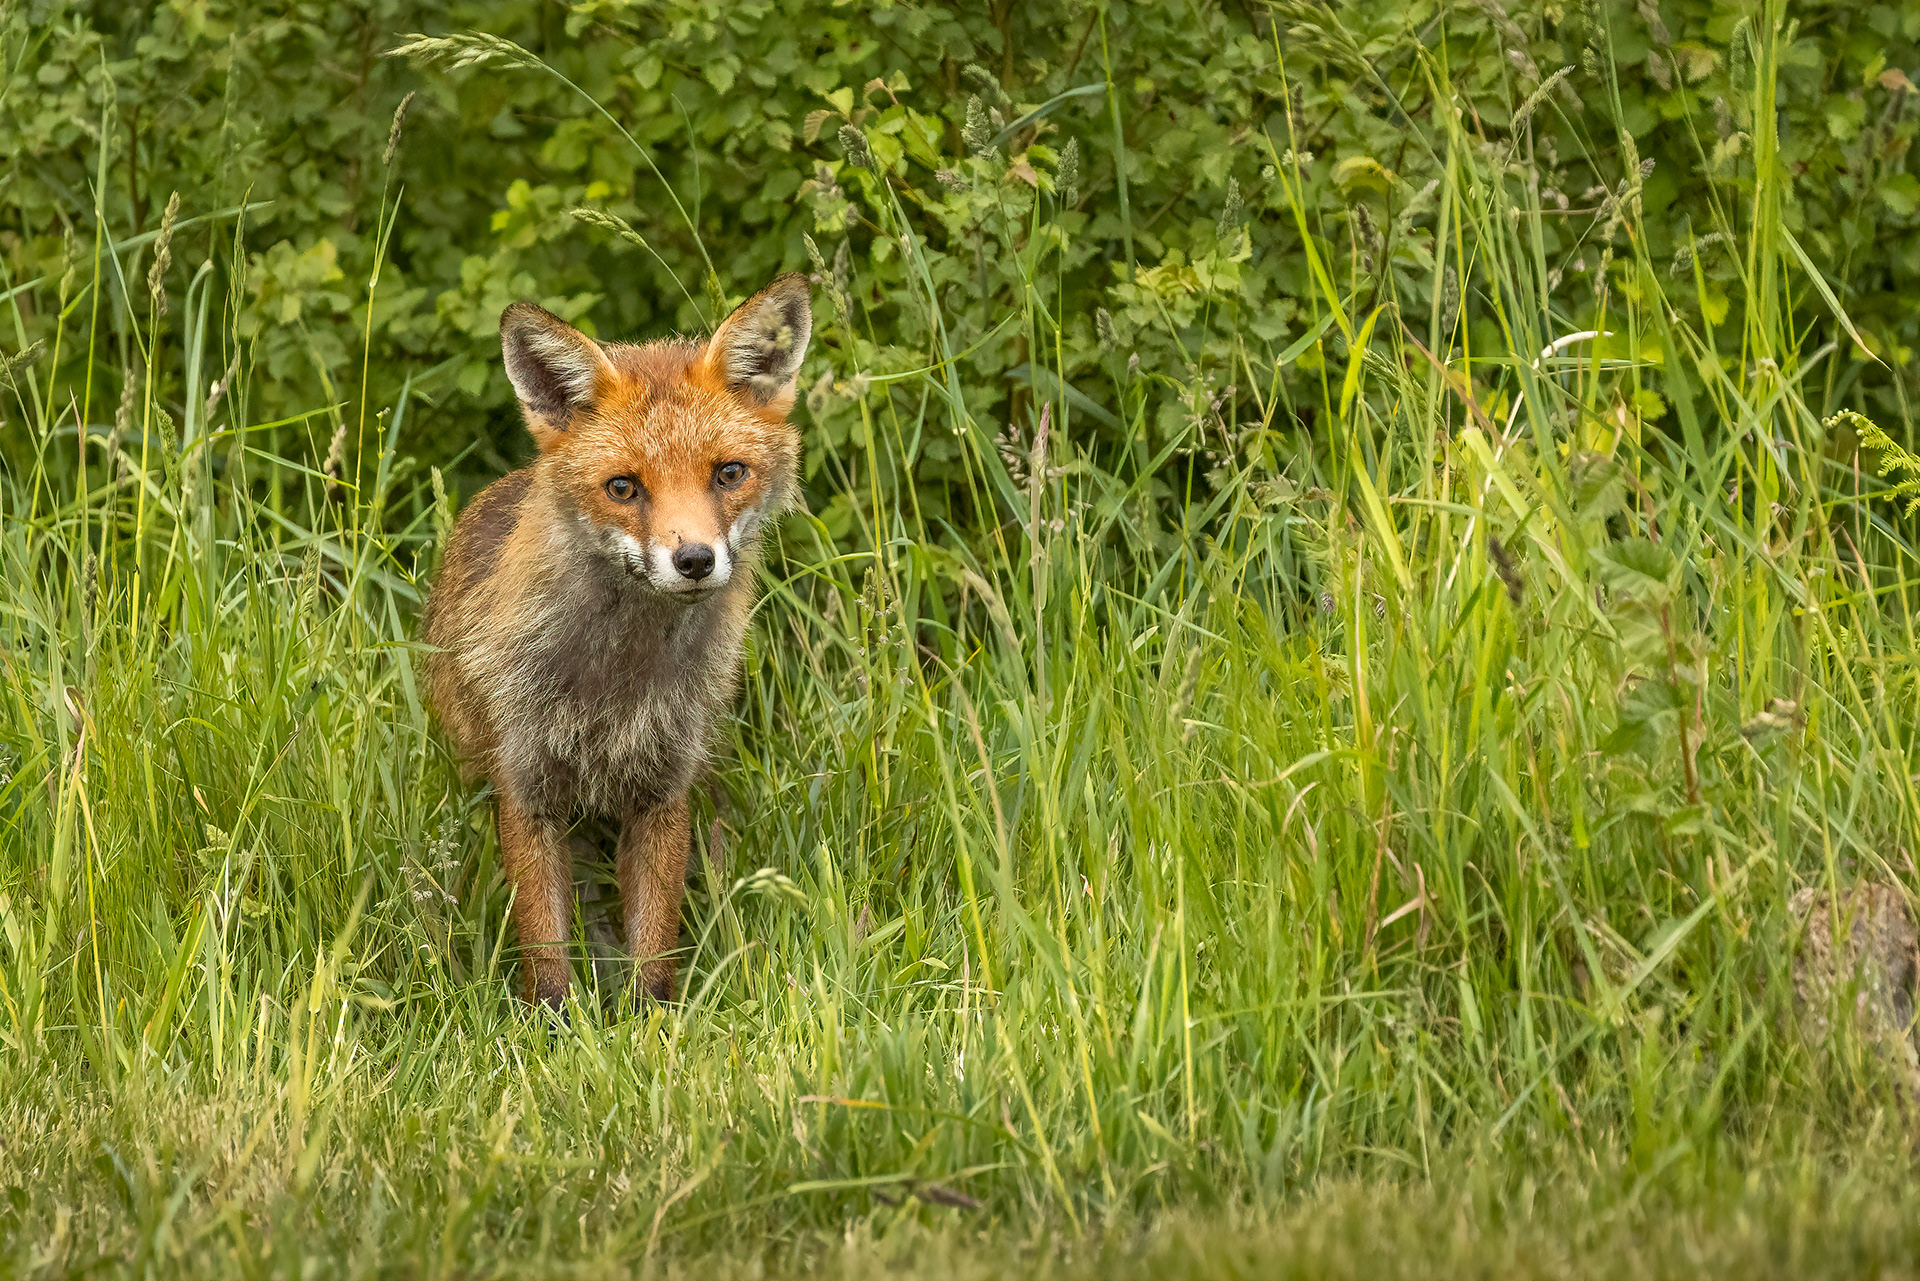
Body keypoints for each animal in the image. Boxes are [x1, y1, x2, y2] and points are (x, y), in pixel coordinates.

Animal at [425, 274, 811, 1009]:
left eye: (728, 473)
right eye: (623, 487)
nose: (695, 559)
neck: (615, 686)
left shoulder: (664, 788)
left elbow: (653, 943)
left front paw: (652, 1021)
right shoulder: (526, 786)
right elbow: (546, 946)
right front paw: (551, 1024)